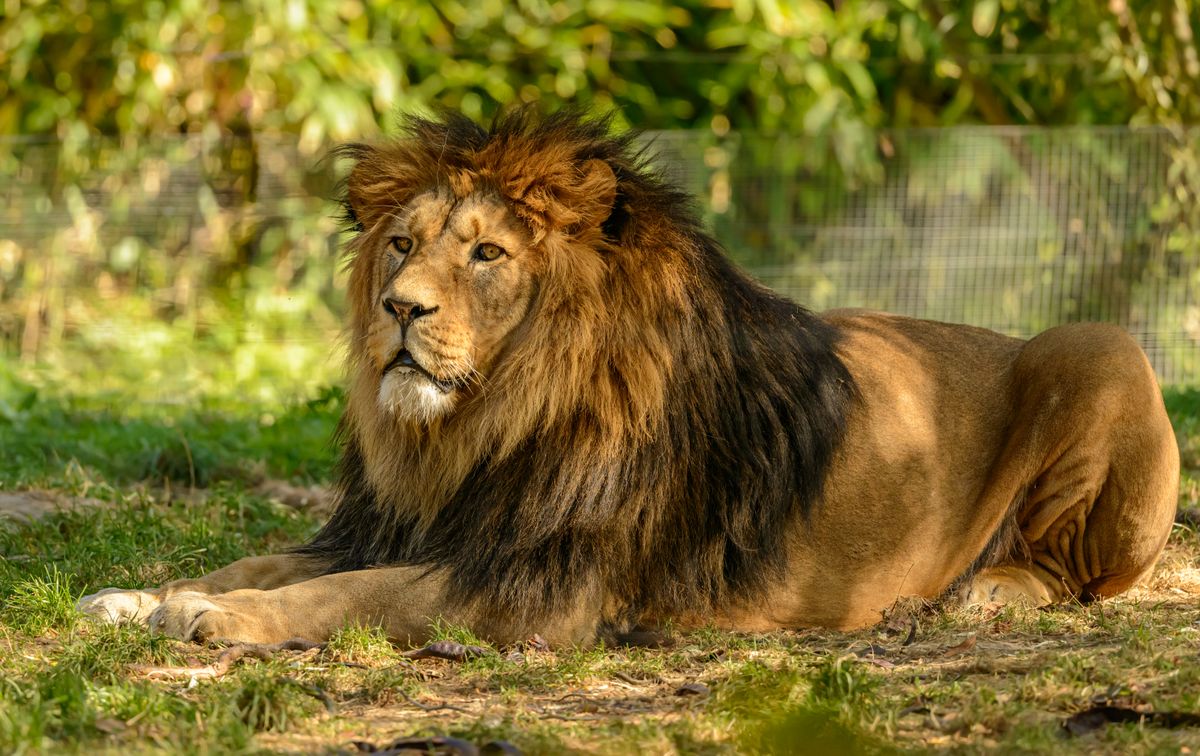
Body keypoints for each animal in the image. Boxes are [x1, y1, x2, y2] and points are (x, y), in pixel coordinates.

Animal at [78, 109, 1179, 646]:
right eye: (400, 246)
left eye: (486, 254)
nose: (400, 309)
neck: (478, 427)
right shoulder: (407, 527)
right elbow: (267, 560)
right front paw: (136, 597)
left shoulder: (546, 590)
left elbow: (352, 599)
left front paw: (222, 619)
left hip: (1099, 347)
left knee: (1077, 577)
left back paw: (978, 597)